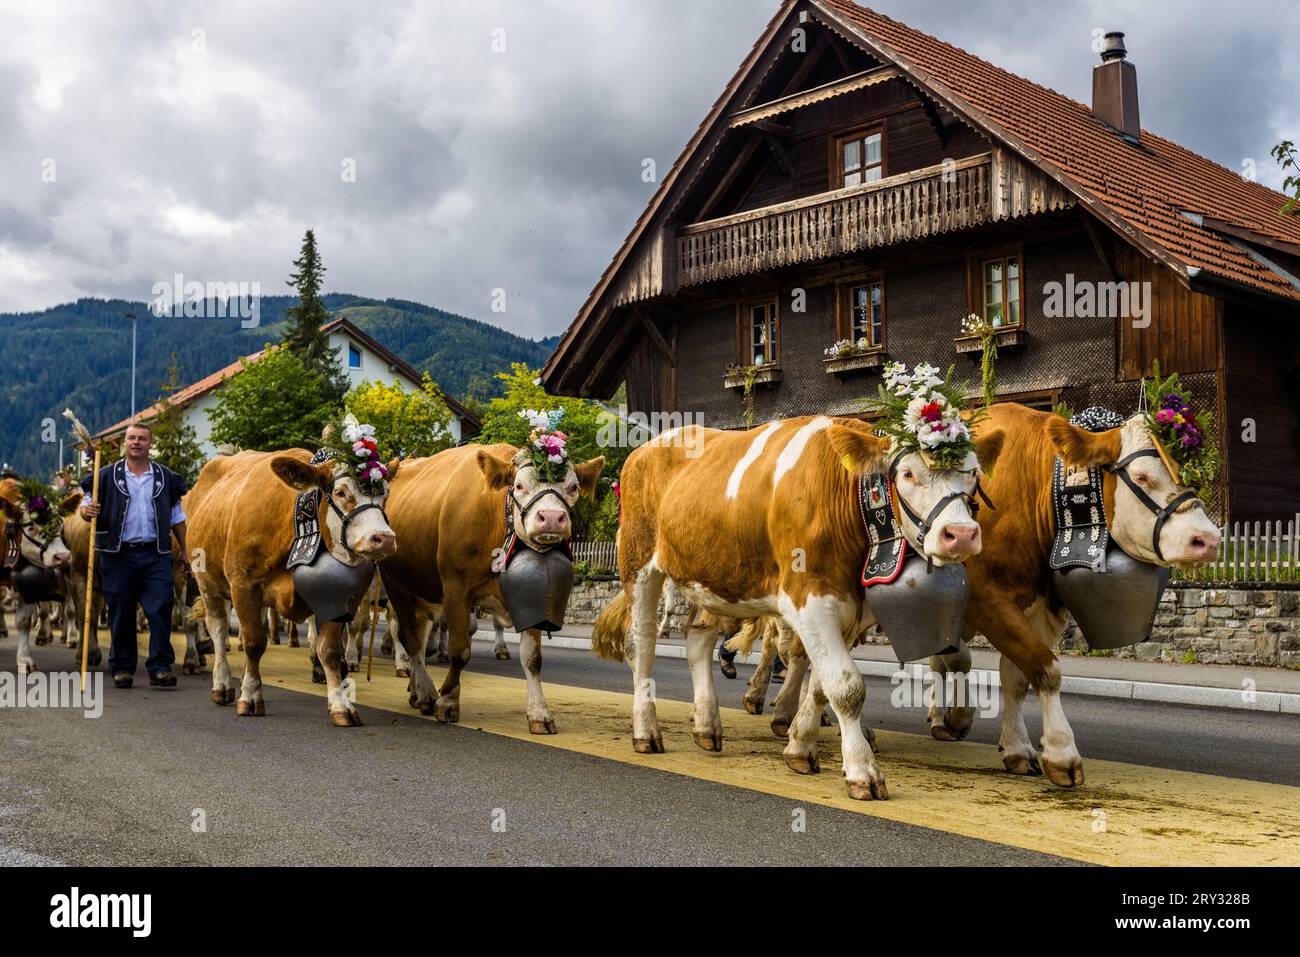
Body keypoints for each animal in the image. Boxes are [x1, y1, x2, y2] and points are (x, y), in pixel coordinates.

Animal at [186, 448, 399, 725]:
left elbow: (330, 651)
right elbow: (254, 643)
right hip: (206, 582)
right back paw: (222, 684)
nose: (384, 539)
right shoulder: (244, 585)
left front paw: (341, 705)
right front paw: (250, 696)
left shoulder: (334, 595)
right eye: (341, 493)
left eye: (386, 494)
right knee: (218, 629)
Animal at [379, 443, 603, 731]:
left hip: (423, 591)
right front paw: (448, 701)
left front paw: (539, 713)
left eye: (573, 487)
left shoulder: (531, 597)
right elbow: (459, 650)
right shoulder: (456, 589)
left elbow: (532, 659)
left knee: (421, 633)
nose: (552, 518)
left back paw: (416, 691)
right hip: (395, 584)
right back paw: (427, 693)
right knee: (411, 639)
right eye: (518, 486)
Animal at [591, 415, 1002, 801]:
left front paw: (800, 747)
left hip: (711, 576)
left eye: (973, 474)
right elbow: (847, 687)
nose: (961, 535)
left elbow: (821, 685)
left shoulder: (849, 610)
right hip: (639, 564)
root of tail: (648, 446)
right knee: (642, 647)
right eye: (907, 473)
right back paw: (646, 732)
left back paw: (706, 726)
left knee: (697, 641)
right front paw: (863, 771)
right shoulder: (809, 599)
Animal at [916, 403, 1219, 786]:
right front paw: (1062, 753)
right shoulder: (983, 598)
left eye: (1189, 475)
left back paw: (940, 718)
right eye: (1141, 477)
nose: (1208, 540)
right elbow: (1042, 668)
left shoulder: (1043, 607)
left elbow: (1017, 676)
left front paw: (1017, 748)